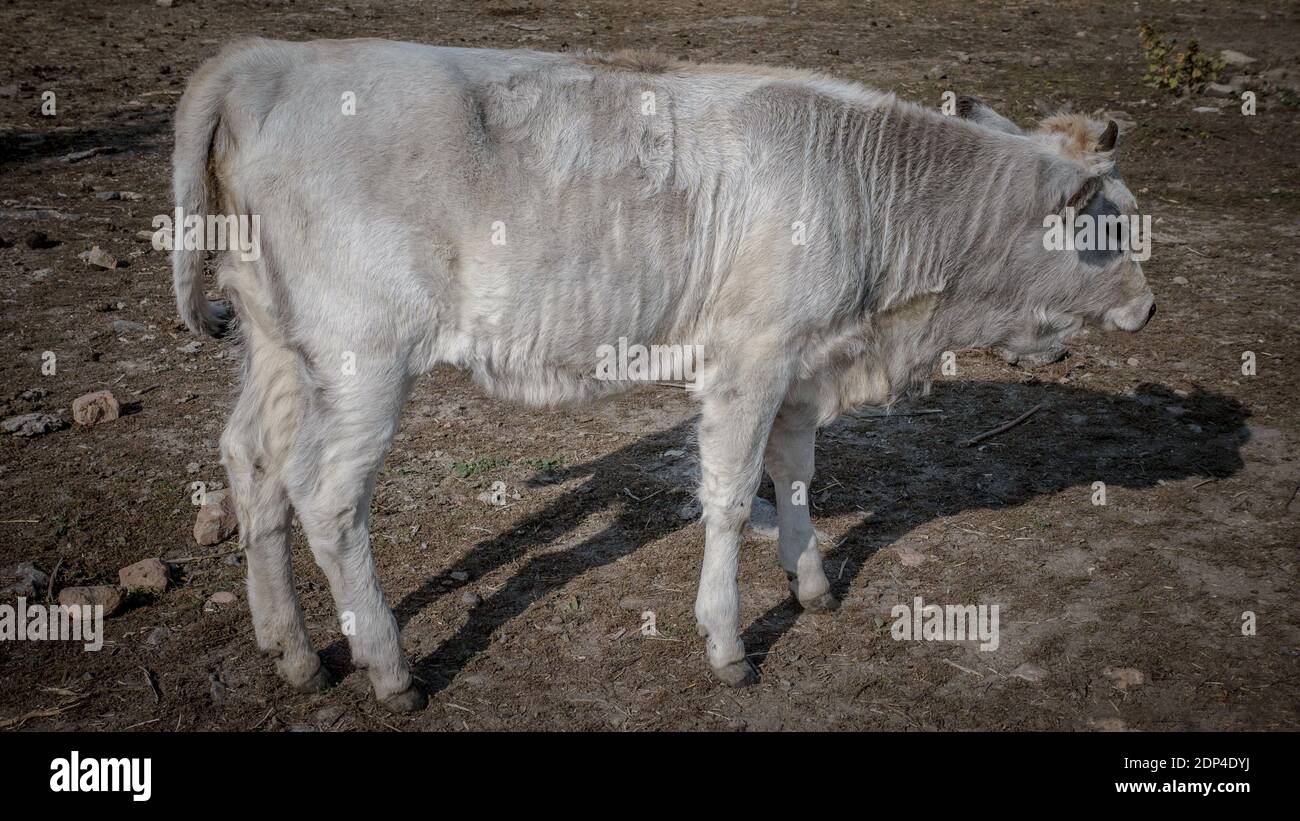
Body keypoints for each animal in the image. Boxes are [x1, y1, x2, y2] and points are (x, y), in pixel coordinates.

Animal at [172, 38, 1155, 712]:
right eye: (1110, 227)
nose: (1147, 306)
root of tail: (266, 60)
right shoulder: (749, 356)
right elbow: (729, 494)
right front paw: (726, 641)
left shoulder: (803, 360)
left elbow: (796, 474)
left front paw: (811, 581)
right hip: (364, 355)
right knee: (328, 496)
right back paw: (388, 667)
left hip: (279, 343)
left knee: (250, 461)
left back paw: (293, 649)